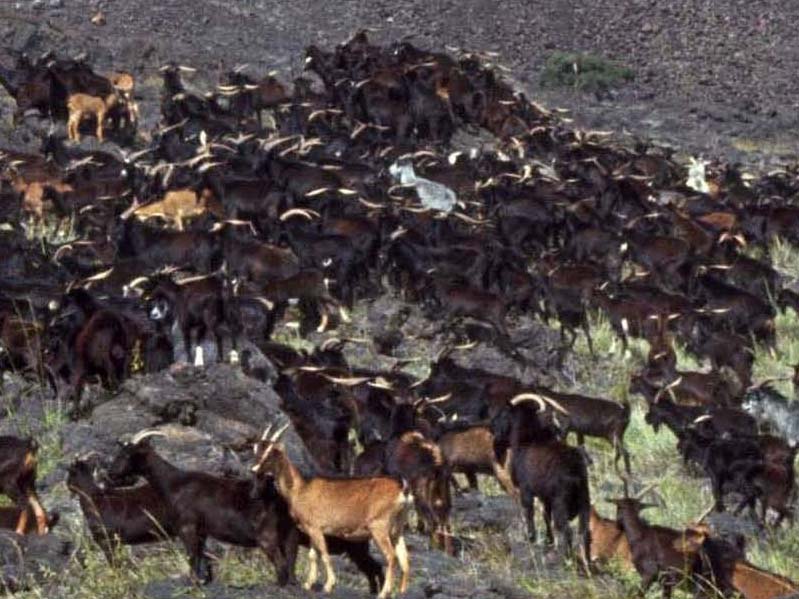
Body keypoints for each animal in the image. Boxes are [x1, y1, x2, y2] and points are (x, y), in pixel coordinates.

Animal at [252, 423, 412, 598]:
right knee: (404, 558)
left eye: (272, 452)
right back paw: (402, 592)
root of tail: (402, 490)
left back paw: (383, 593)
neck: (300, 489)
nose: (254, 469)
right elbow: (313, 555)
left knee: (391, 557)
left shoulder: (316, 528)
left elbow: (324, 554)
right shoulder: (311, 529)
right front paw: (308, 584)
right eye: (257, 449)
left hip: (379, 527)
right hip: (397, 529)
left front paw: (328, 585)